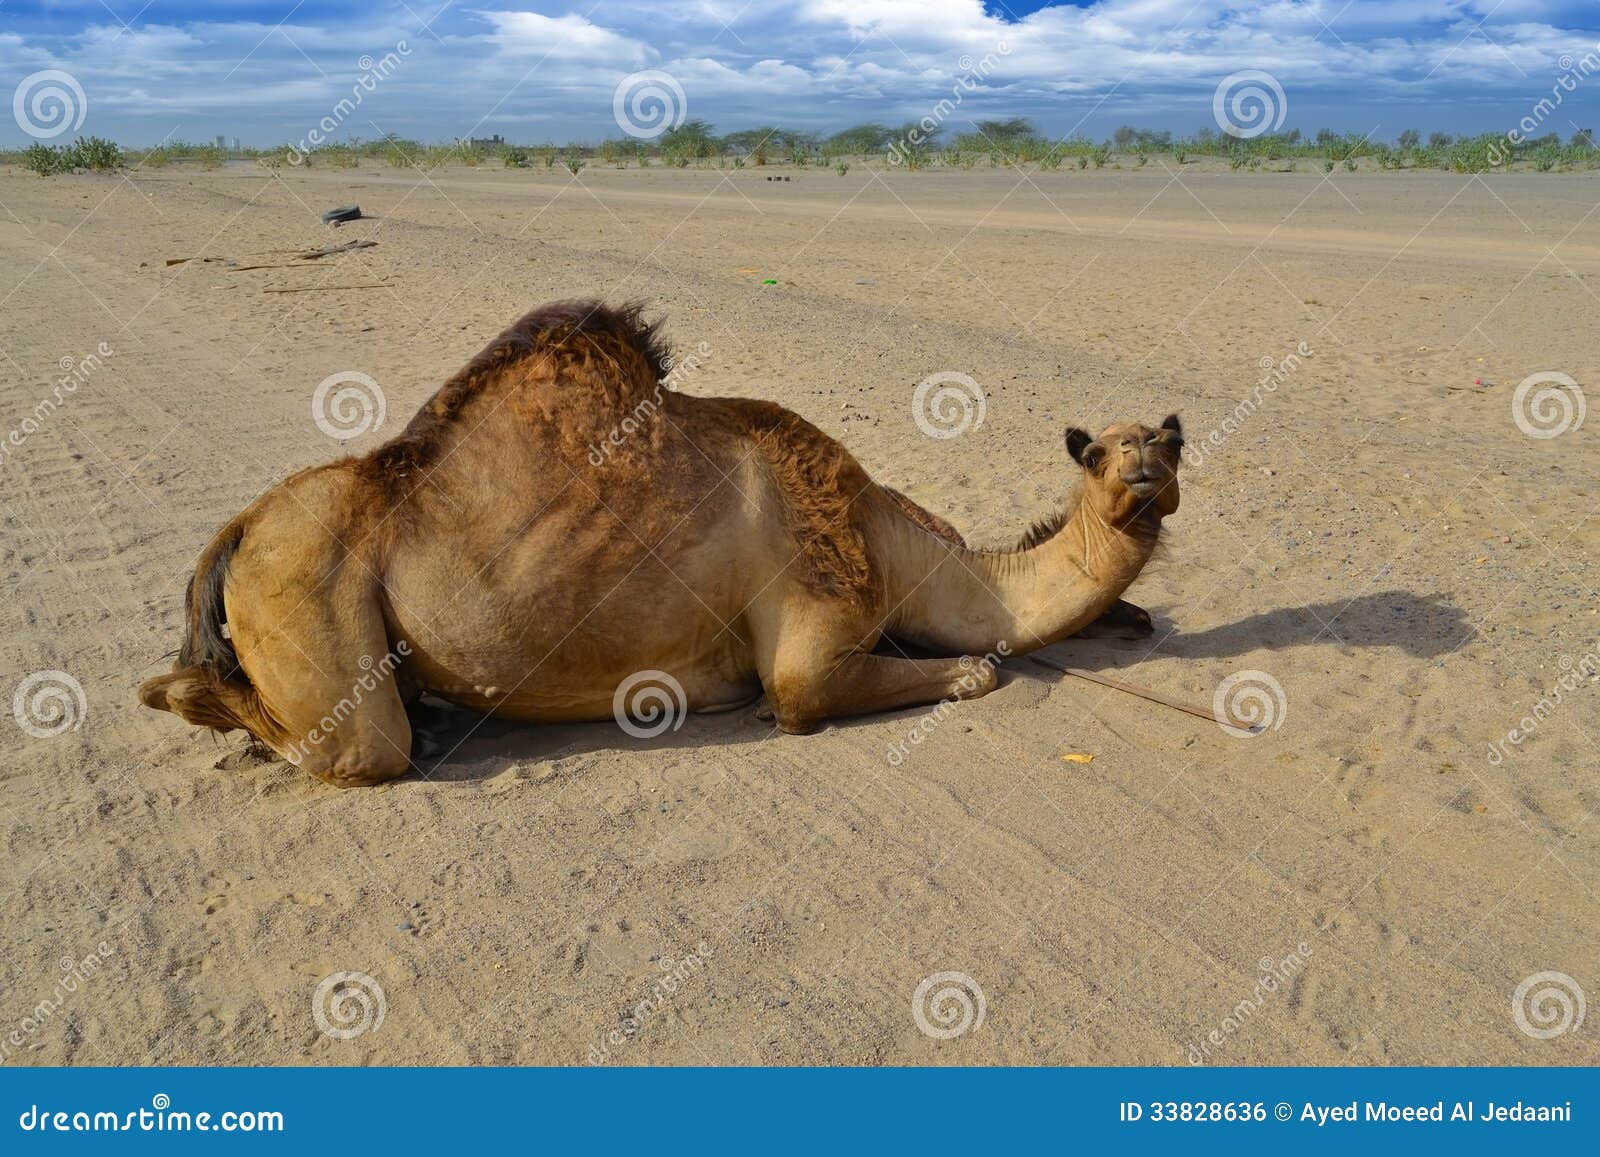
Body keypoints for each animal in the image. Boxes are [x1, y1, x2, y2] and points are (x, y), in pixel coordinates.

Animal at [139, 300, 1182, 787]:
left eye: (1168, 440)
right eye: (1104, 452)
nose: (1150, 462)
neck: (892, 543)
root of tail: (239, 532)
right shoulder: (814, 631)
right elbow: (923, 677)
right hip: (304, 591)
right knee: (350, 742)